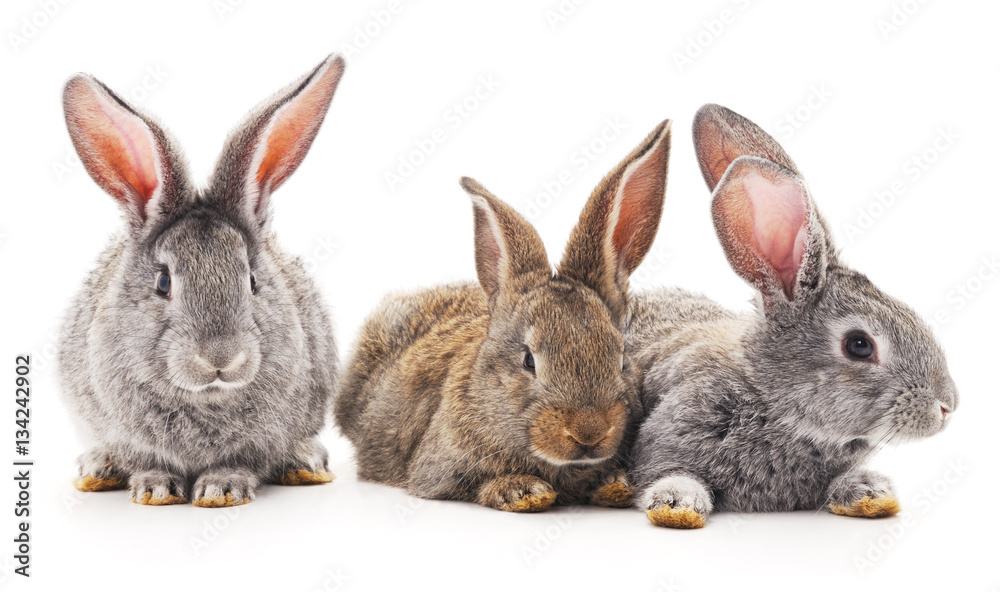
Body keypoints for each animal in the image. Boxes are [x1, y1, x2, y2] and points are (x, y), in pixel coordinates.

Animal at [58, 54, 346, 507]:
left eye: (251, 280)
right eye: (163, 283)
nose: (220, 357)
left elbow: (239, 463)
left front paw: (221, 489)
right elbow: (147, 462)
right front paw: (156, 488)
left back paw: (306, 463)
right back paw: (97, 469)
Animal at [334, 120, 672, 512]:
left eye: (620, 359)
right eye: (528, 361)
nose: (588, 432)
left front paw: (615, 484)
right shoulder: (437, 469)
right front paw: (524, 492)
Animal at [626, 104, 959, 529]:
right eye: (859, 345)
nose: (947, 406)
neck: (766, 395)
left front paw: (870, 493)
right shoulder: (668, 434)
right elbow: (669, 473)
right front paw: (677, 505)